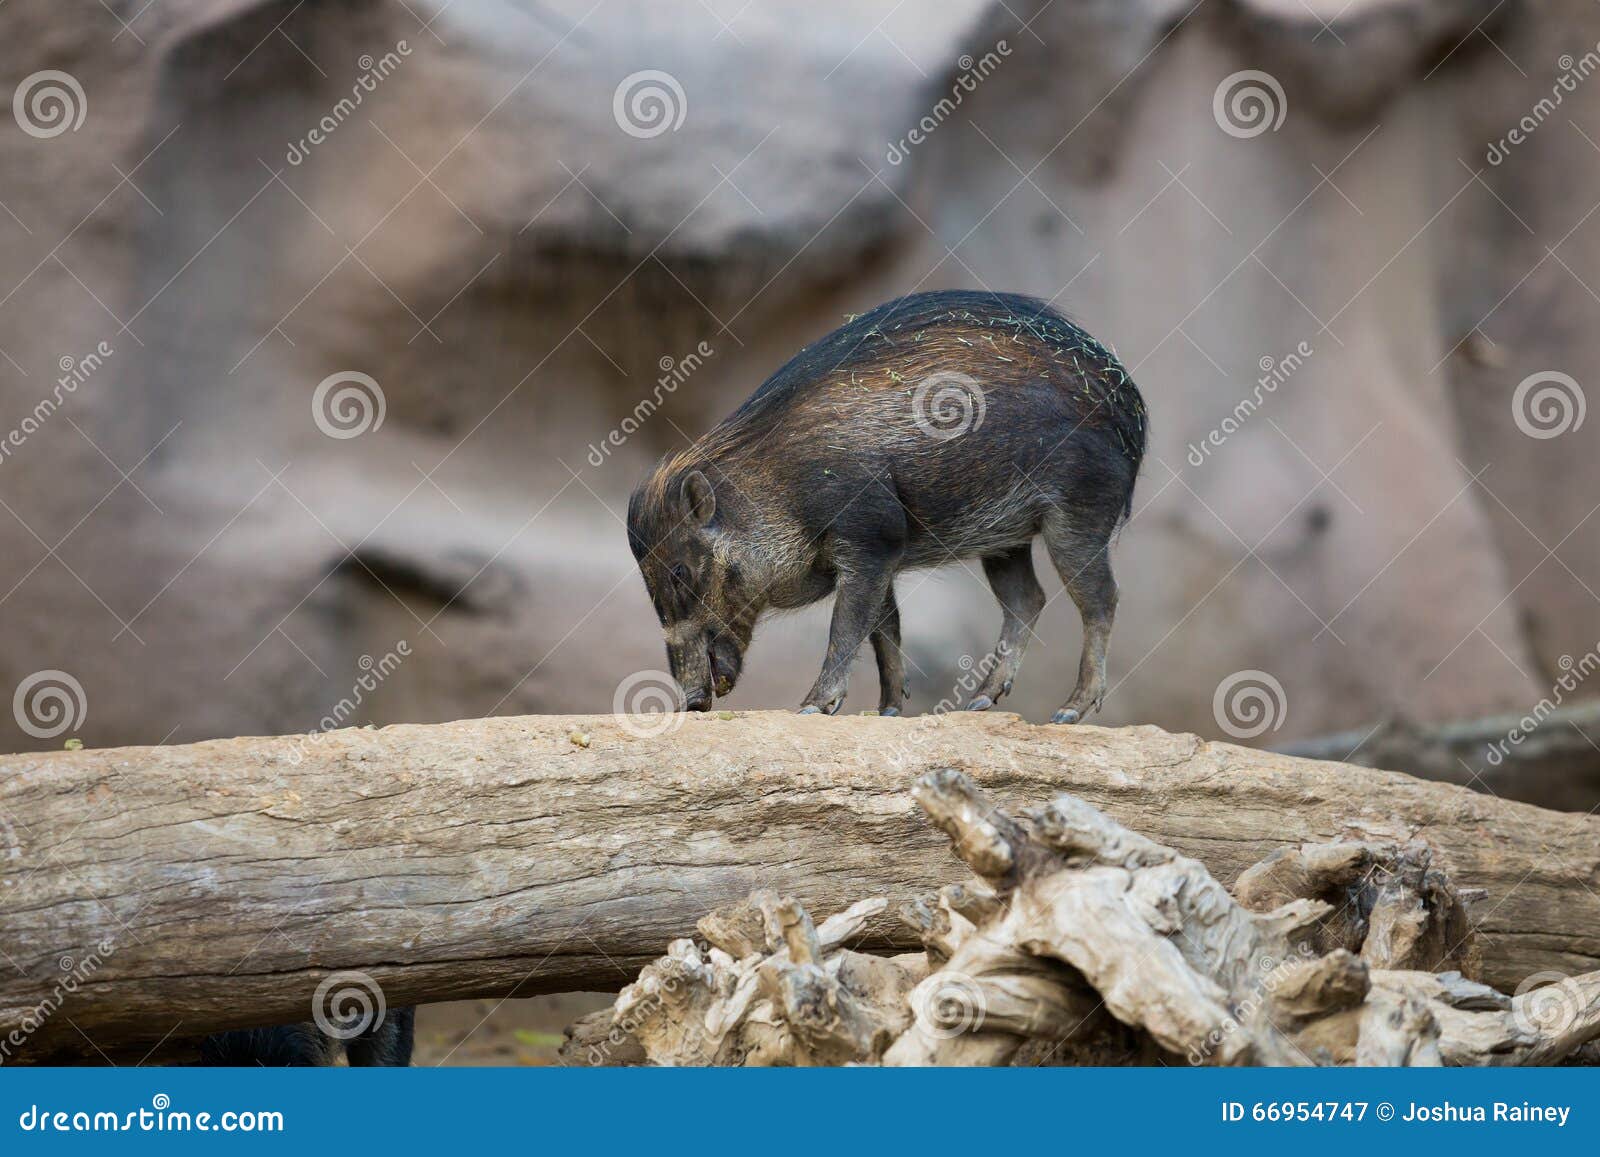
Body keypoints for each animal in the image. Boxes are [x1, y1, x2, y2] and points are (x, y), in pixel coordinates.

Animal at [626, 289, 1146, 722]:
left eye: (680, 573)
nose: (692, 703)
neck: (776, 485)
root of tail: (1130, 409)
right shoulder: (880, 554)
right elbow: (884, 629)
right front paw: (888, 711)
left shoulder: (870, 538)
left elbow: (847, 627)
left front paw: (812, 708)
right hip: (1006, 539)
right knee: (1027, 600)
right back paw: (978, 703)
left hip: (1077, 515)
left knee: (1102, 598)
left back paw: (1069, 711)